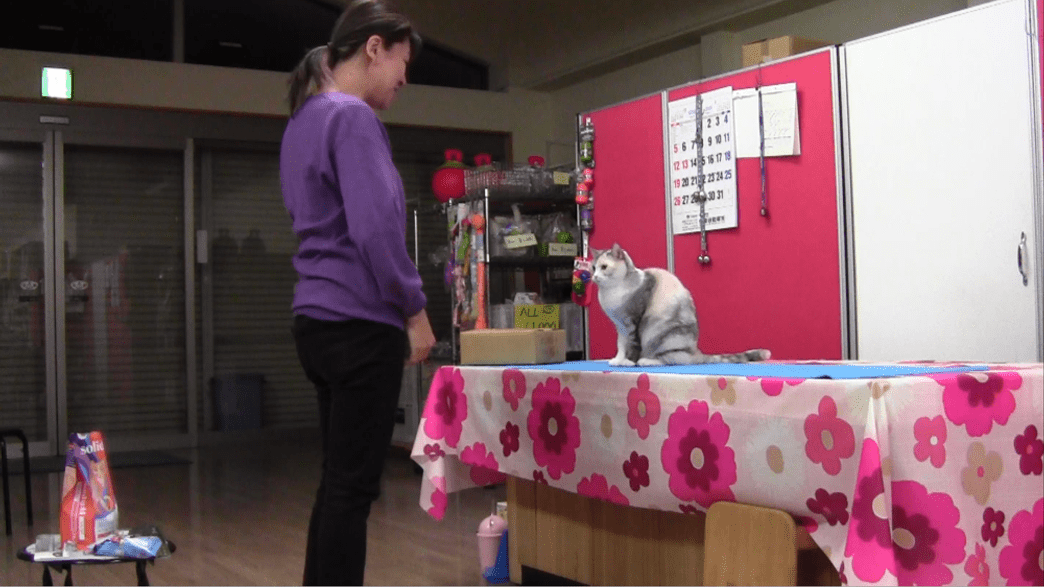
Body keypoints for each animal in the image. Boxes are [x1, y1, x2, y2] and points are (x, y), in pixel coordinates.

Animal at [591, 243, 771, 366]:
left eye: (604, 267)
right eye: (593, 267)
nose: (594, 277)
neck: (611, 292)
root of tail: (696, 353)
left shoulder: (634, 322)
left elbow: (633, 345)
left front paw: (629, 362)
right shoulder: (620, 326)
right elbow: (621, 345)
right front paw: (617, 360)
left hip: (658, 334)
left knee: (671, 359)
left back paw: (646, 361)